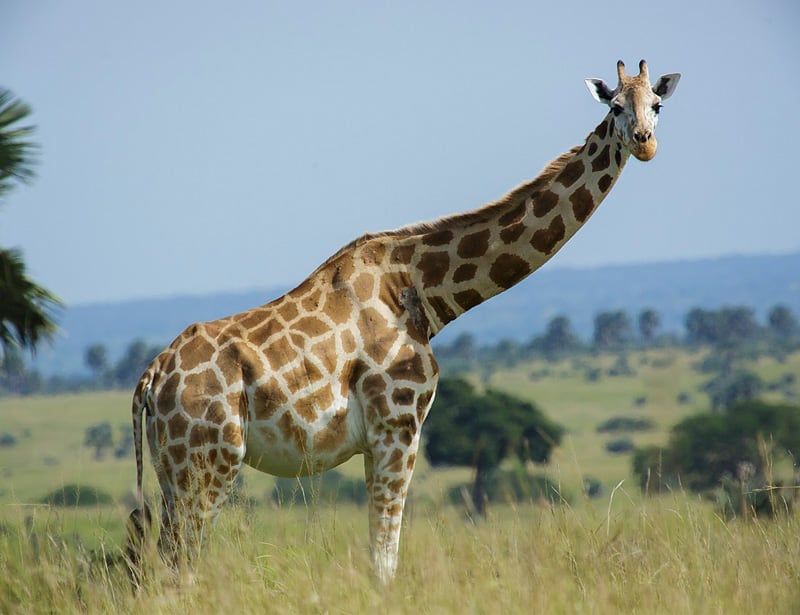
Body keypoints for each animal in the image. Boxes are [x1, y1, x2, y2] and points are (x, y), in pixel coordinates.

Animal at [127, 59, 680, 584]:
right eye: (615, 107)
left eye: (657, 104)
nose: (645, 144)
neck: (424, 291)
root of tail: (150, 380)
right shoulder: (399, 425)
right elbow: (385, 559)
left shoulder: (378, 439)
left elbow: (381, 554)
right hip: (208, 462)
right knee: (181, 564)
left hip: (173, 471)